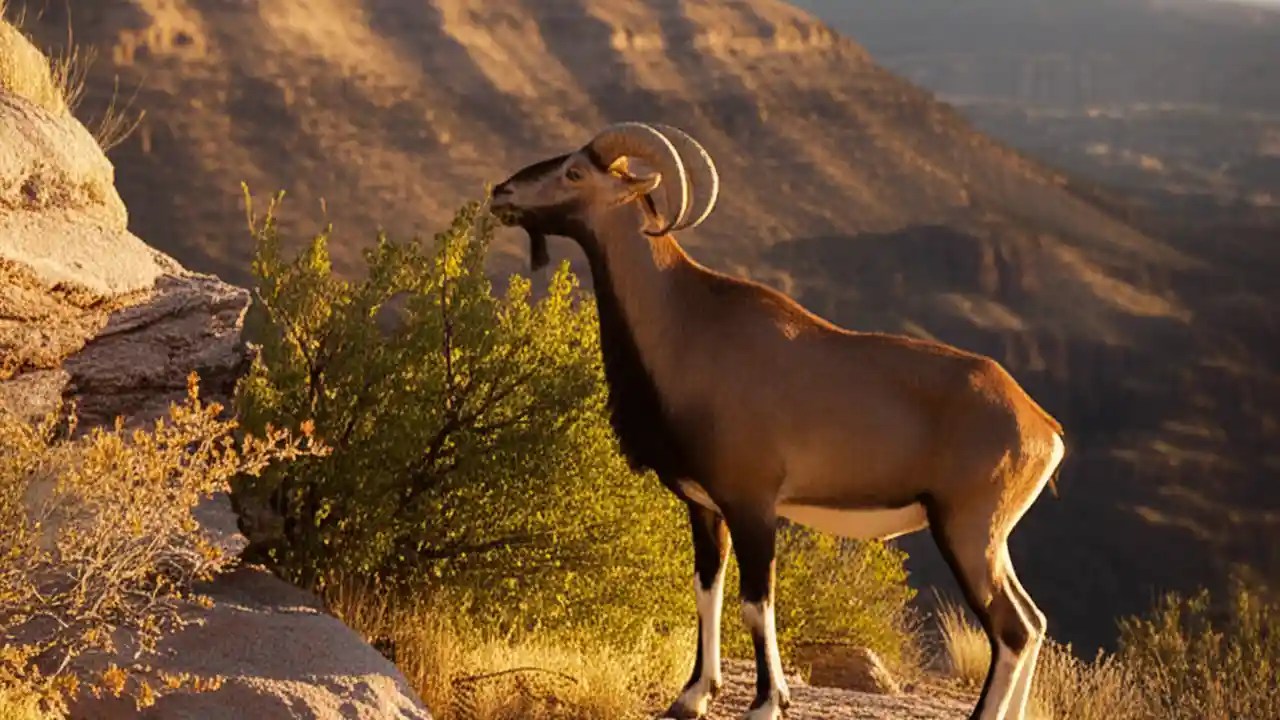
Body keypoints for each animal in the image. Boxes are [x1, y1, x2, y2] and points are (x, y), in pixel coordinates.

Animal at [489, 122, 1066, 720]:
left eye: (575, 172)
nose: (501, 193)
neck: (687, 321)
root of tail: (1043, 427)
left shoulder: (753, 507)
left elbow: (755, 604)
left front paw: (767, 702)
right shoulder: (706, 508)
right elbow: (708, 592)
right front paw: (693, 694)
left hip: (968, 532)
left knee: (1012, 628)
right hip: (990, 539)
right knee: (1032, 621)